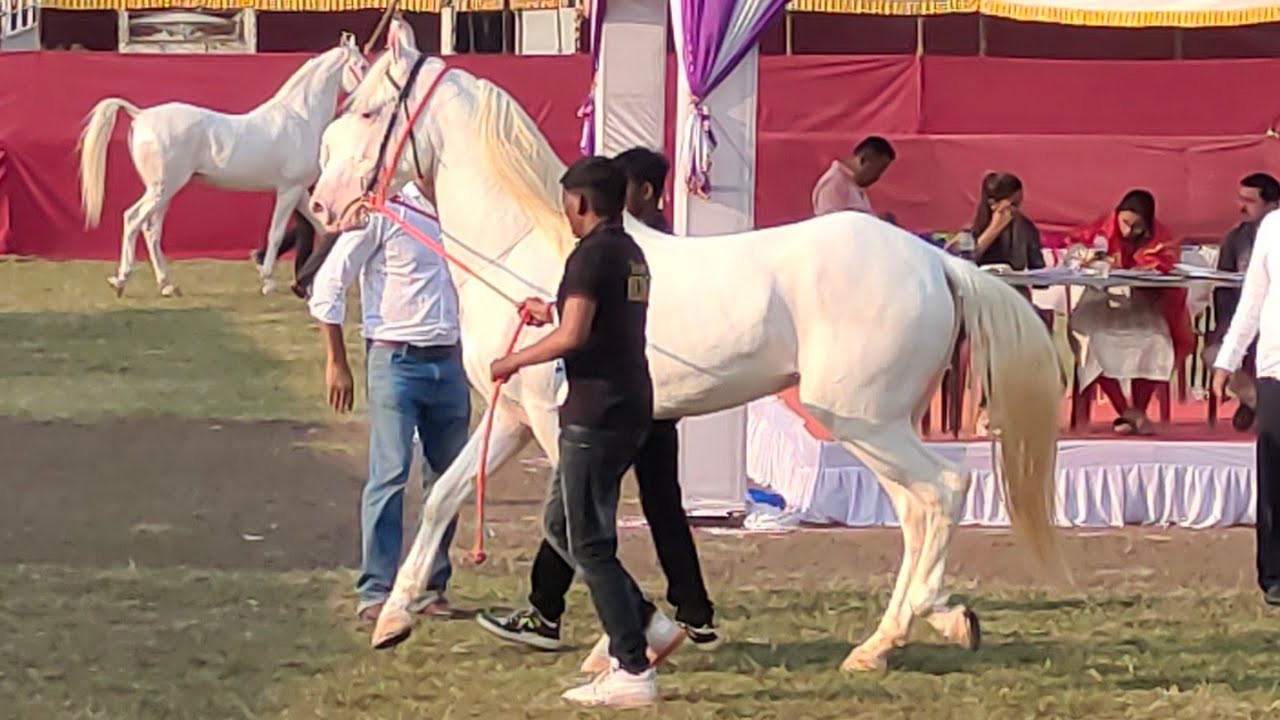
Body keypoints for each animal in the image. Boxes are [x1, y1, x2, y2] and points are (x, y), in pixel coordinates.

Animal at [77, 34, 368, 297]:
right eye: (362, 66)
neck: (300, 118)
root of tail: (141, 115)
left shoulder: (299, 192)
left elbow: (323, 228)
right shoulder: (289, 190)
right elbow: (275, 234)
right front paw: (268, 281)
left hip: (165, 192)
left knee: (152, 231)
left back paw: (167, 285)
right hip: (161, 189)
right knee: (133, 219)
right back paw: (121, 280)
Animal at [308, 25, 1065, 673]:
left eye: (371, 111)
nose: (321, 205)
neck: (526, 251)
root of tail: (936, 262)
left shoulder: (558, 425)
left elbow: (579, 526)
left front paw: (635, 637)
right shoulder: (516, 418)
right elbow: (446, 495)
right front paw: (395, 617)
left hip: (861, 419)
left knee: (942, 491)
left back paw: (923, 624)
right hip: (881, 422)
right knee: (916, 509)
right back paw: (898, 635)